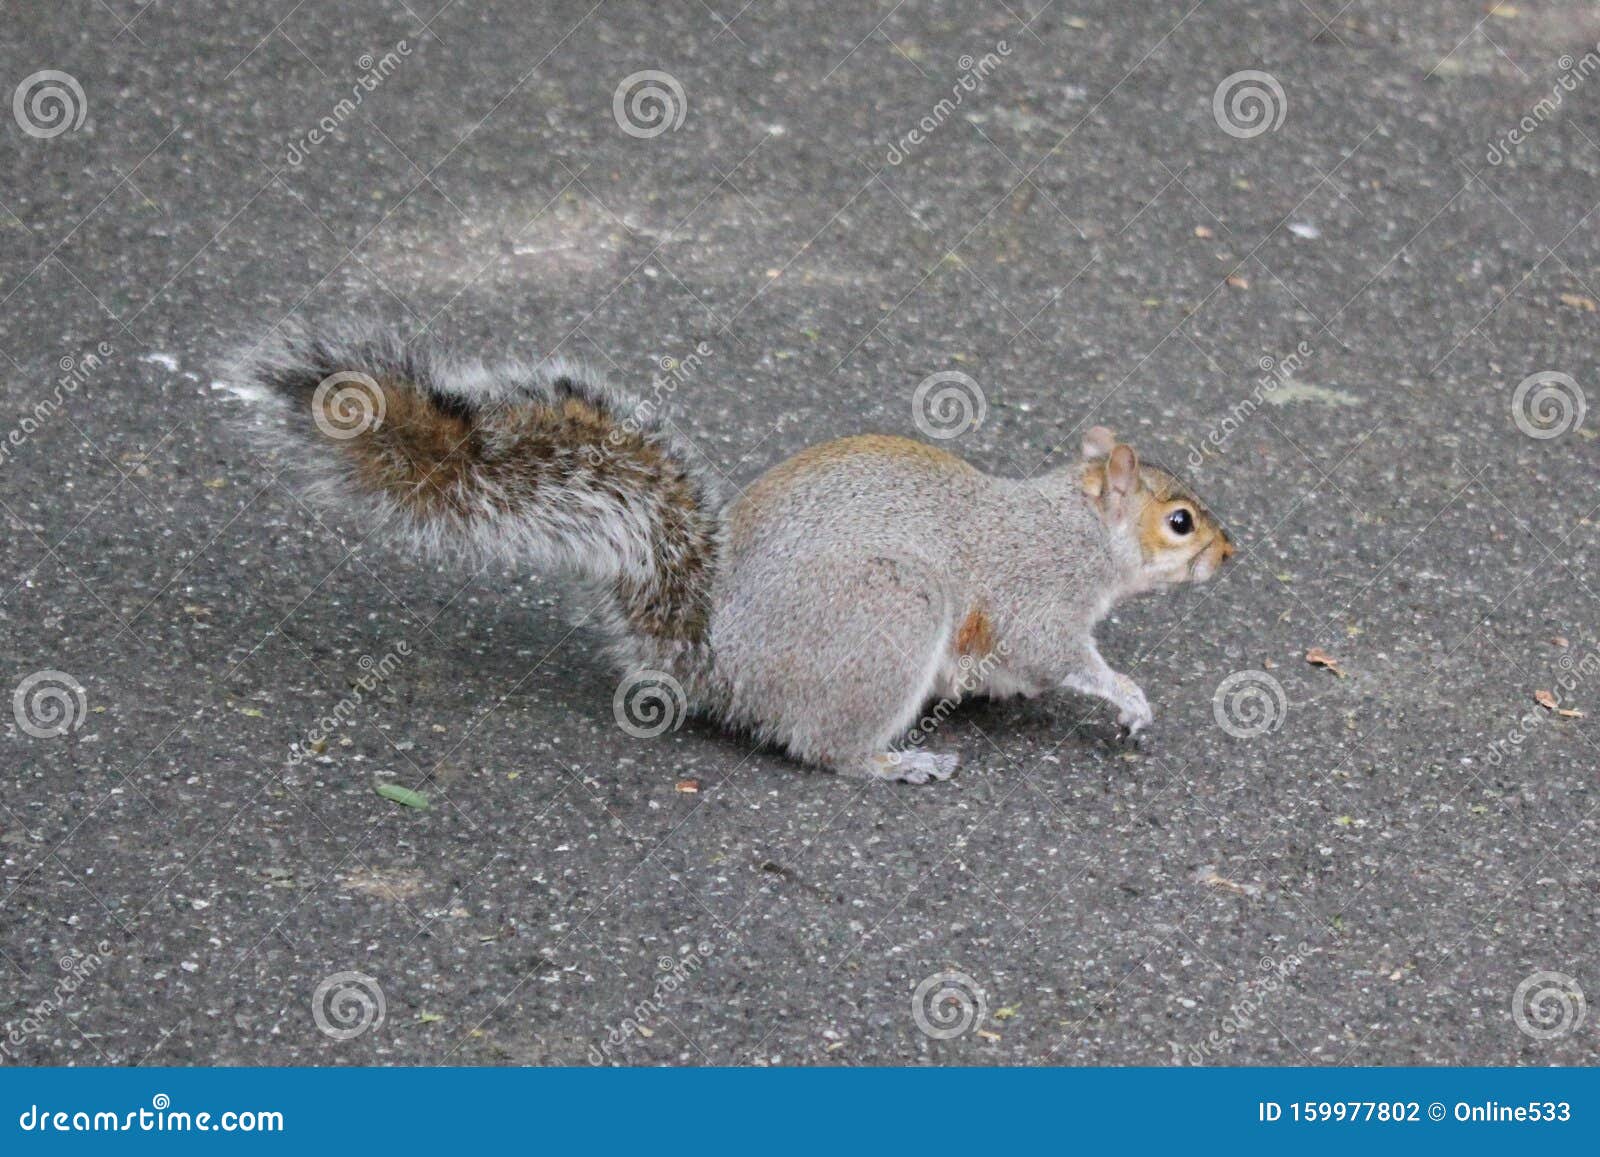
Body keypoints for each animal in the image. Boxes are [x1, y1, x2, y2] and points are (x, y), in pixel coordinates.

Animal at [242, 325, 1234, 784]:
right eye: (1181, 521)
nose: (1232, 552)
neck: (1079, 525)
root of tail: (717, 662)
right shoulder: (1040, 593)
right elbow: (1056, 651)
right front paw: (1127, 695)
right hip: (889, 616)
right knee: (826, 745)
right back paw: (894, 761)